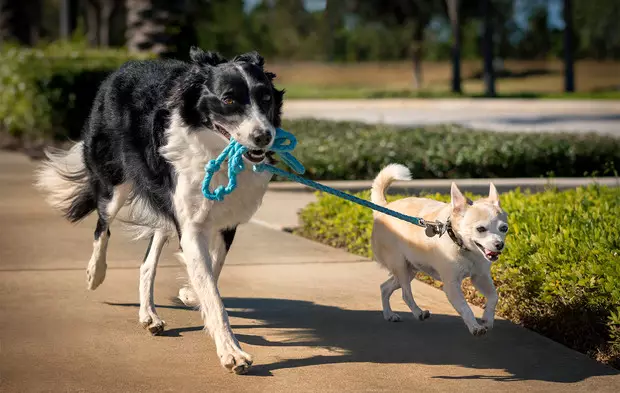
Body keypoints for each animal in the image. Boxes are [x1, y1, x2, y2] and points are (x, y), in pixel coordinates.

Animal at [36, 47, 284, 372]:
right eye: (229, 99)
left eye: (266, 98)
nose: (264, 136)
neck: (214, 149)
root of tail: (123, 67)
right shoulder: (189, 225)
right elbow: (213, 294)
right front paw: (231, 352)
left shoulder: (226, 219)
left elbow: (213, 270)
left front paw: (191, 292)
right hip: (115, 181)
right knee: (102, 225)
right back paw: (95, 273)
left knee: (146, 262)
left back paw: (148, 315)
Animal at [368, 164, 508, 336]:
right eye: (480, 229)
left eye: (504, 228)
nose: (499, 244)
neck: (464, 249)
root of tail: (384, 208)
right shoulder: (451, 284)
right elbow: (465, 308)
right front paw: (475, 327)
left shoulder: (480, 277)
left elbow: (494, 297)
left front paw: (487, 319)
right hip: (400, 266)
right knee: (406, 294)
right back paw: (418, 312)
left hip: (409, 270)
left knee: (385, 287)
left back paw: (389, 314)